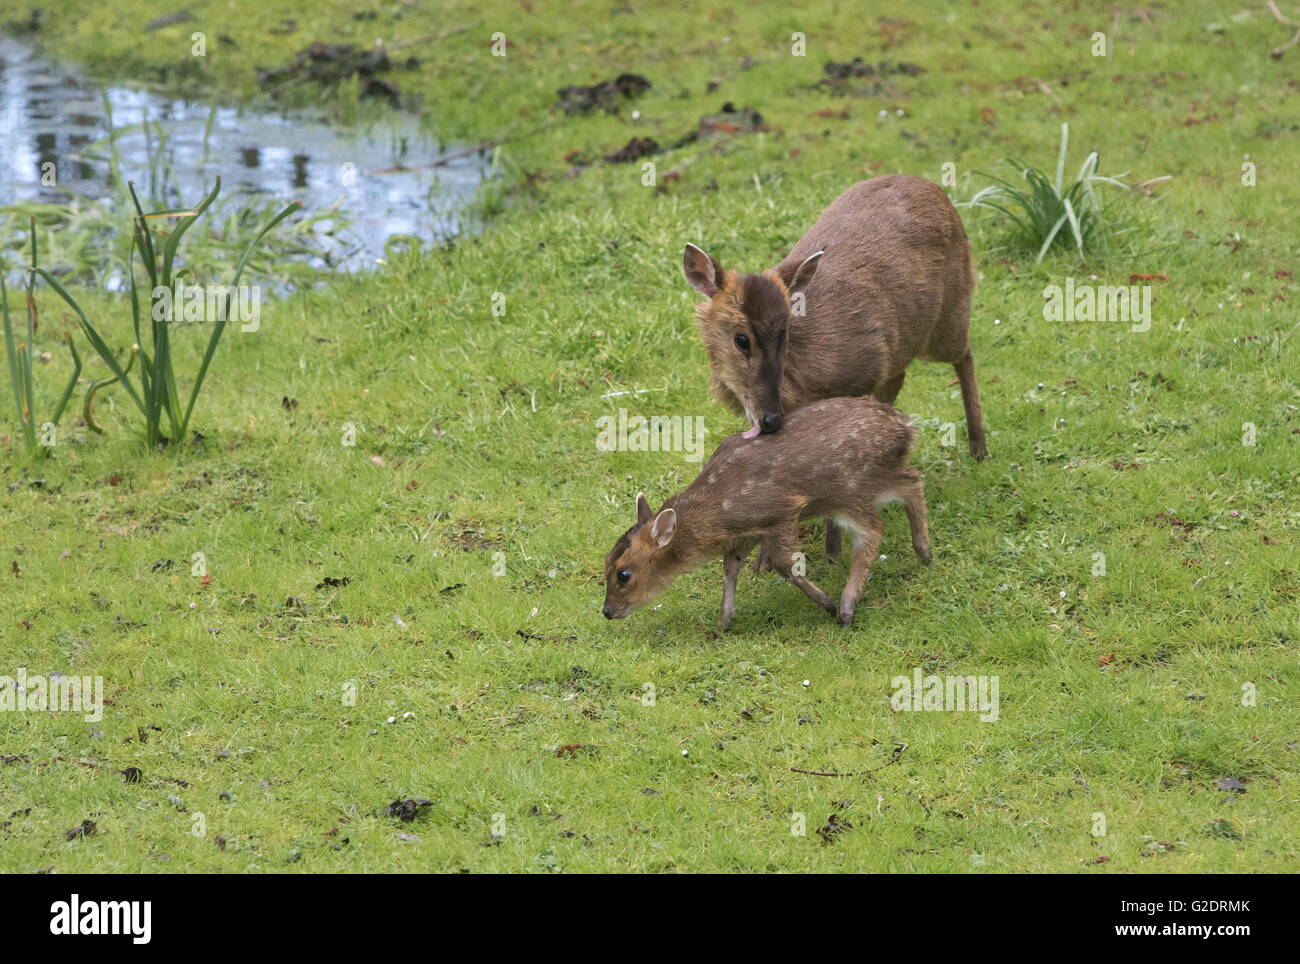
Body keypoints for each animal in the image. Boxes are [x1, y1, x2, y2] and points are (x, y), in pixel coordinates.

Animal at [601, 396, 930, 630]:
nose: (606, 611)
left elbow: (785, 565)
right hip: (873, 480)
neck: (719, 515)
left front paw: (828, 604)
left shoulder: (780, 512)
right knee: (913, 479)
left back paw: (849, 605)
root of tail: (906, 427)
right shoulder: (745, 535)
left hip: (851, 488)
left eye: (624, 574)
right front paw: (723, 622)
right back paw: (924, 552)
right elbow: (730, 568)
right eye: (606, 562)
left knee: (873, 530)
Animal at [682, 174, 984, 564]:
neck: (800, 387)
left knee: (965, 355)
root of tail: (936, 190)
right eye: (741, 339)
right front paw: (768, 557)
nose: (770, 419)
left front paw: (832, 550)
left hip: (951, 312)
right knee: (903, 376)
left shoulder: (862, 373)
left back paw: (979, 447)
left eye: (785, 333)